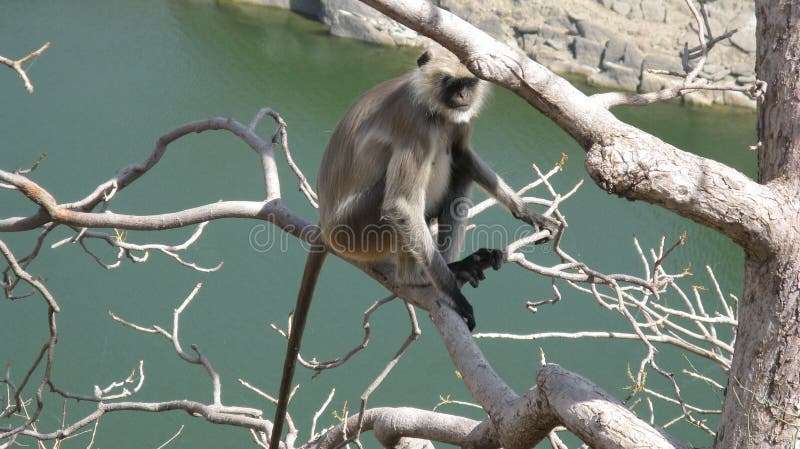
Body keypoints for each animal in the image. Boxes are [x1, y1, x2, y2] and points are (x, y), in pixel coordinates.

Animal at [269, 48, 558, 449]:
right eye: (450, 83)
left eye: (468, 83)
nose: (462, 97)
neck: (436, 110)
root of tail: (326, 224)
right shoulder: (415, 124)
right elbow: (401, 206)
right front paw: (454, 296)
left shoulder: (459, 121)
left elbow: (464, 154)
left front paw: (526, 213)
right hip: (358, 229)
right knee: (402, 197)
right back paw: (421, 277)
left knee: (455, 164)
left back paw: (457, 264)